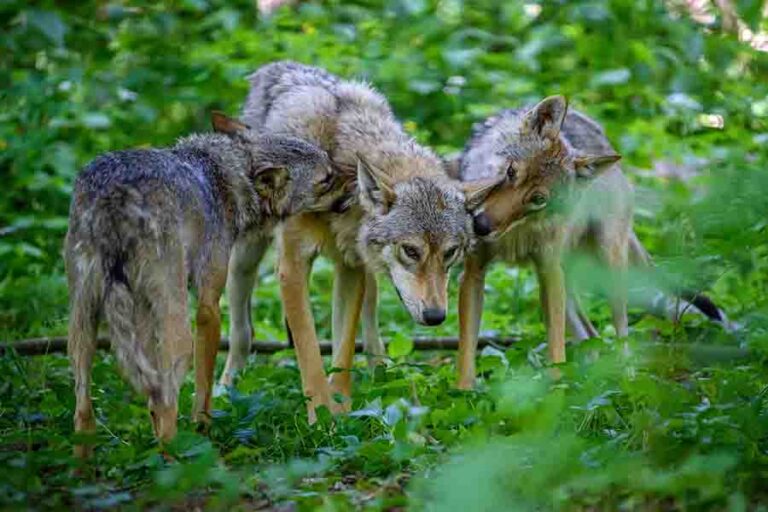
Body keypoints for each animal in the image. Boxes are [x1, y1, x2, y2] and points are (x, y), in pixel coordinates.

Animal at [65, 112, 332, 456]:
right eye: (327, 180)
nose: (353, 185)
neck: (226, 174)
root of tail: (116, 195)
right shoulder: (209, 306)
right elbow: (204, 388)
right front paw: (203, 429)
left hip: (83, 325)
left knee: (86, 413)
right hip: (178, 332)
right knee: (164, 402)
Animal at [219, 61, 496, 419]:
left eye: (450, 253)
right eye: (411, 251)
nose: (436, 317)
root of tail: (277, 66)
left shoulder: (351, 267)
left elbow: (343, 351)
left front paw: (341, 410)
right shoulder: (292, 268)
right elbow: (310, 352)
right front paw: (321, 416)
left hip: (366, 272)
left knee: (370, 321)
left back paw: (379, 373)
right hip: (245, 260)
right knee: (243, 330)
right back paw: (226, 389)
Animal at [455, 96, 726, 388]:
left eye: (538, 199)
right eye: (511, 172)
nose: (480, 226)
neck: (516, 233)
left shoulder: (550, 272)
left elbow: (557, 351)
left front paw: (556, 390)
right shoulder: (473, 273)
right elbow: (466, 351)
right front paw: (464, 392)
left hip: (609, 271)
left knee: (621, 335)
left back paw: (625, 384)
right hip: (564, 286)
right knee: (590, 335)